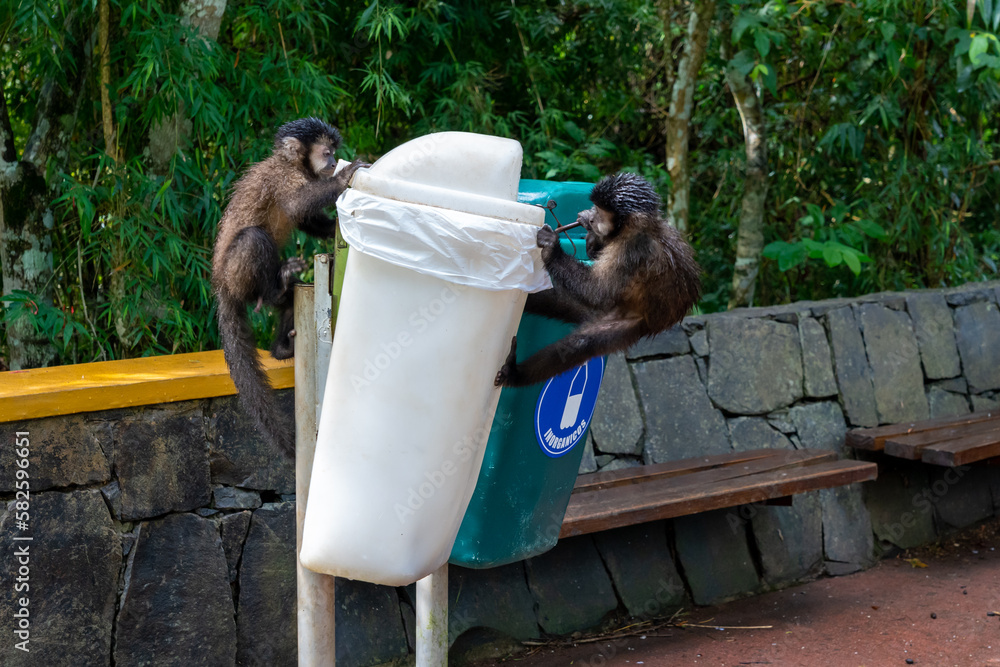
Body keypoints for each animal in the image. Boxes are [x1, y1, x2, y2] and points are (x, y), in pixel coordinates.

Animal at [212, 117, 367, 458]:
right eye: (327, 152)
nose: (334, 163)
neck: (293, 163)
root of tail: (220, 287)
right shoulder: (283, 176)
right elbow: (296, 205)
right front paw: (344, 178)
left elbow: (305, 218)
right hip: (236, 277)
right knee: (253, 239)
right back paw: (274, 286)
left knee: (288, 299)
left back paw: (281, 340)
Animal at [495, 171, 701, 387]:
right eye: (596, 209)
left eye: (601, 213)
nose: (592, 218)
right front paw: (589, 230)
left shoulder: (633, 247)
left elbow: (598, 292)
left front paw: (552, 247)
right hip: (596, 312)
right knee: (551, 299)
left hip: (629, 325)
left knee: (580, 344)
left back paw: (515, 373)